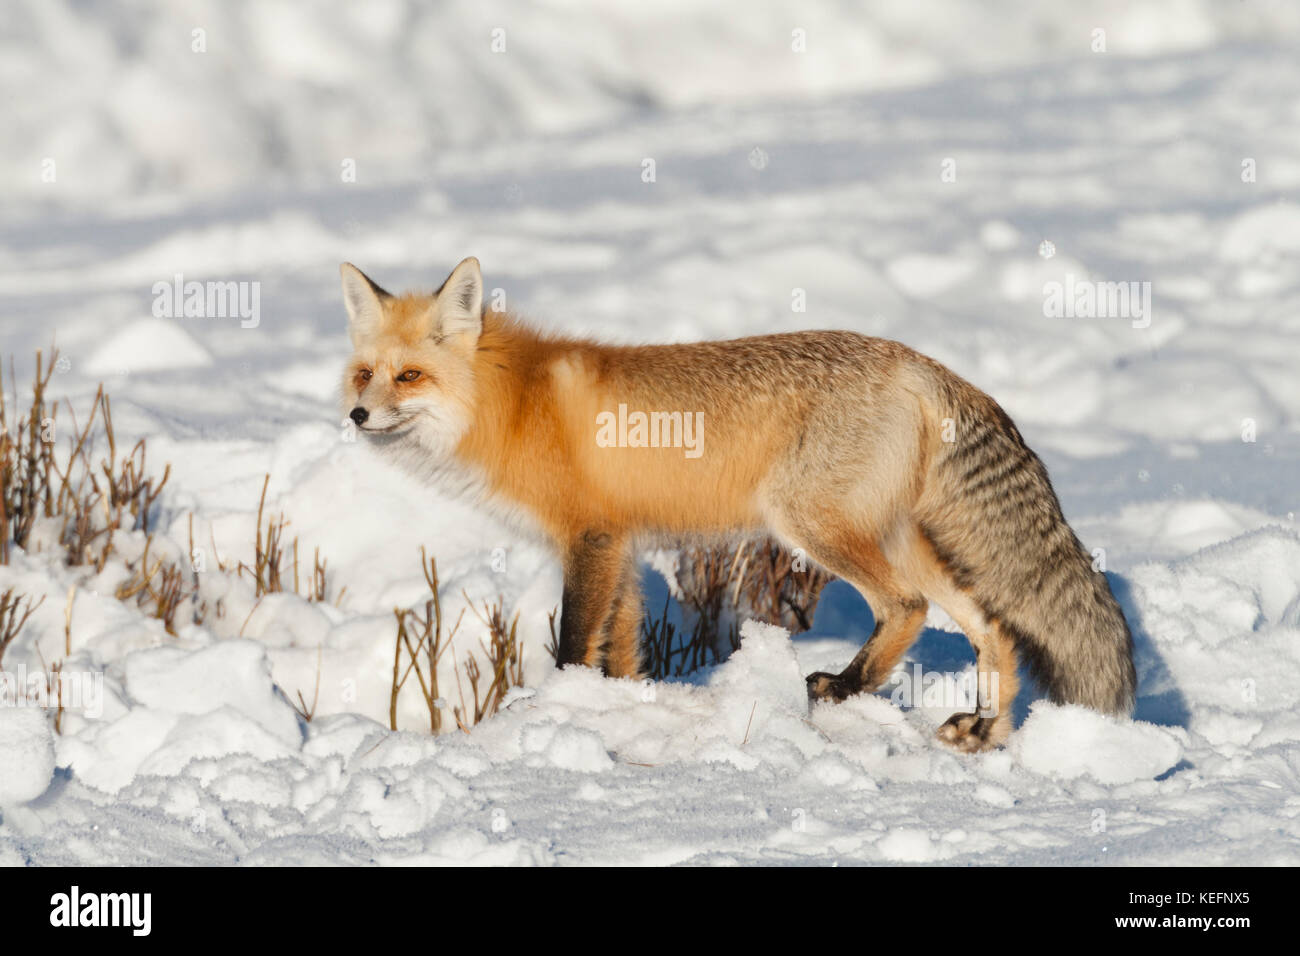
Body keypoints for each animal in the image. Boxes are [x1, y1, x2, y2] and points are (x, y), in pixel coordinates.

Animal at [339, 256, 1137, 751]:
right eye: (363, 374)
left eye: (409, 377)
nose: (356, 417)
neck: (513, 402)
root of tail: (921, 364)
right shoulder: (623, 544)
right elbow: (622, 651)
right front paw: (622, 709)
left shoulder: (589, 538)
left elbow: (572, 646)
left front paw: (554, 710)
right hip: (900, 537)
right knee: (993, 627)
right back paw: (983, 729)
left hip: (810, 523)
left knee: (908, 606)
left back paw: (845, 687)